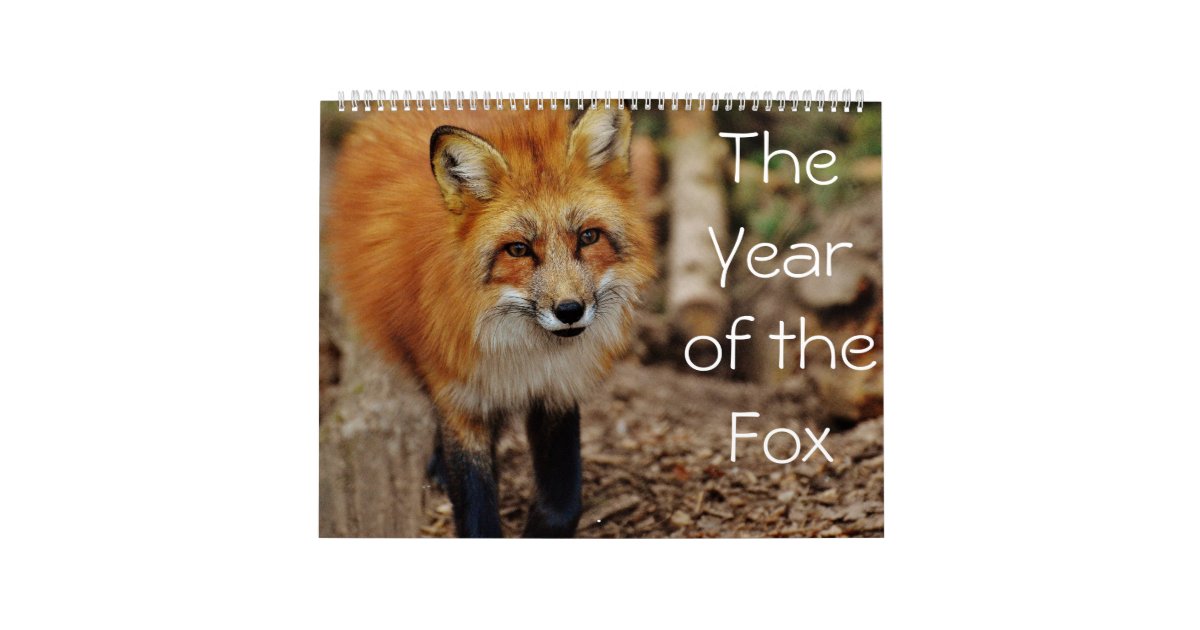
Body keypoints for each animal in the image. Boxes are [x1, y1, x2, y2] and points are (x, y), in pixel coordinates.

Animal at [328, 107, 655, 537]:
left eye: (588, 237)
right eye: (518, 250)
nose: (569, 310)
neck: (524, 353)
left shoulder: (558, 389)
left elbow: (562, 504)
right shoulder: (460, 397)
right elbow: (476, 511)